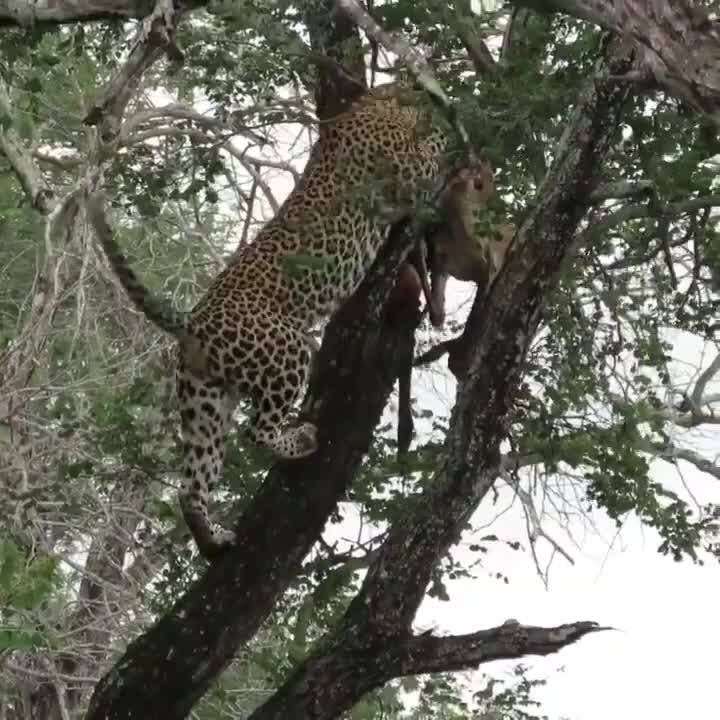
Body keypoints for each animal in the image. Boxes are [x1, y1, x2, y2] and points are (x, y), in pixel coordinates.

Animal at [86, 83, 450, 559]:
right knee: (256, 431)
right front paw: (456, 122)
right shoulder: (407, 170)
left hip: (206, 401)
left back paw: (212, 541)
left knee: (193, 483)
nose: (432, 96)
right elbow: (431, 155)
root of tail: (192, 321)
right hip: (287, 352)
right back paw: (302, 440)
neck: (376, 105)